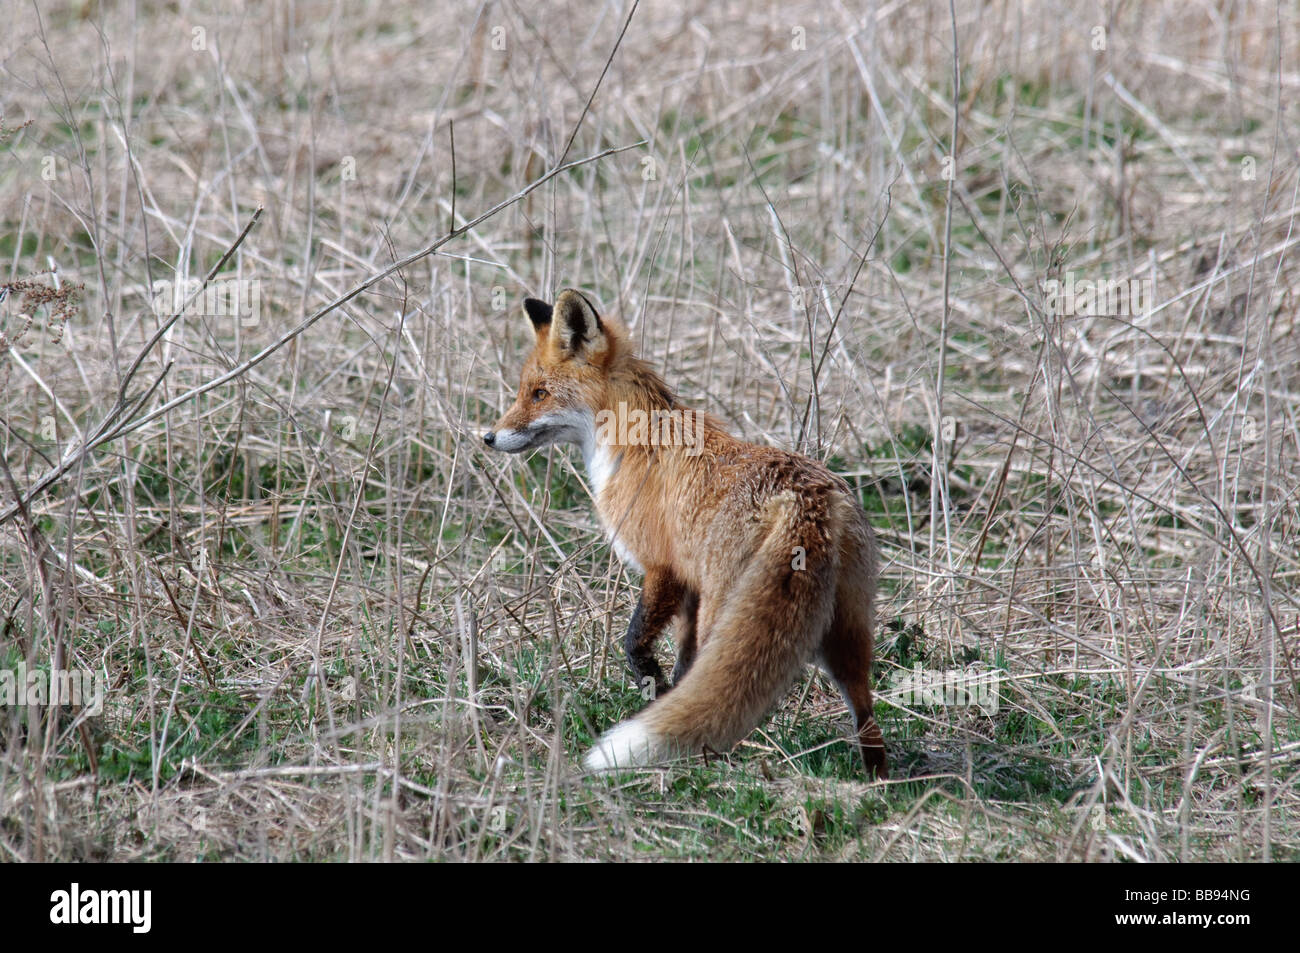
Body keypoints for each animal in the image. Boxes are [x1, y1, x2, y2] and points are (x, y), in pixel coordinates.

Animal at [483, 289, 887, 779]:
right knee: (865, 710)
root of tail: (804, 502)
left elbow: (635, 641)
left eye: (539, 394)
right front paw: (667, 702)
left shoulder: (663, 568)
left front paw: (651, 691)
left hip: (727, 612)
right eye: (525, 391)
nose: (488, 437)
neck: (632, 441)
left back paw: (715, 764)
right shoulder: (690, 588)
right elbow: (684, 669)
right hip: (847, 631)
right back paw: (876, 779)